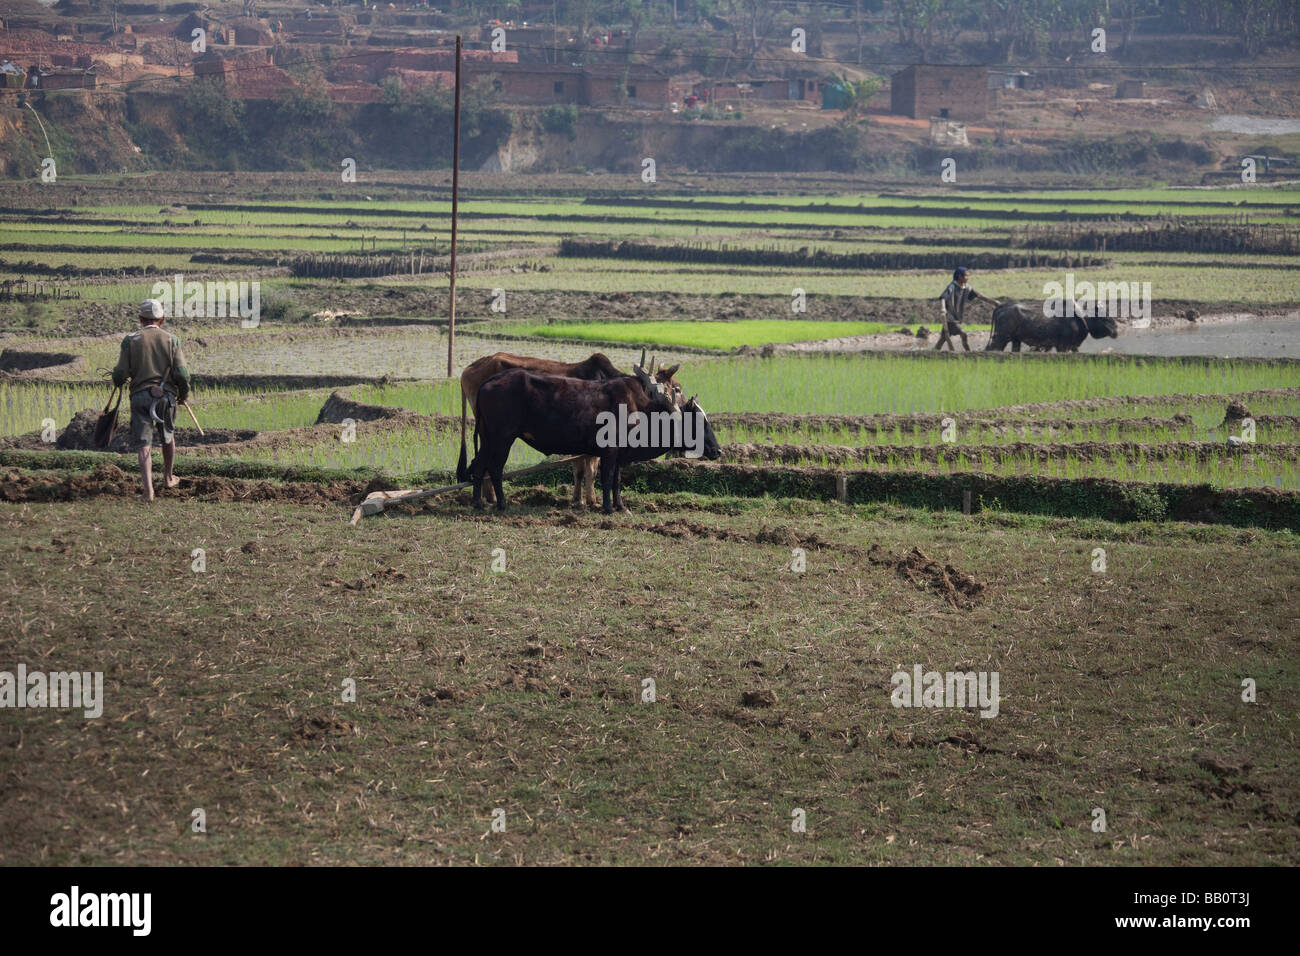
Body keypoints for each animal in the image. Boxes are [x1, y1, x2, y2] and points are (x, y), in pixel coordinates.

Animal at [468, 365, 721, 515]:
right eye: (699, 421)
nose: (718, 451)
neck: (642, 411)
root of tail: (490, 381)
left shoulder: (620, 455)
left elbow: (617, 481)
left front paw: (620, 506)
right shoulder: (609, 452)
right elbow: (607, 479)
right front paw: (607, 508)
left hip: (489, 438)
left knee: (479, 467)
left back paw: (480, 503)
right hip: (502, 438)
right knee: (494, 468)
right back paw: (499, 504)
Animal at [985, 301, 1119, 353]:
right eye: (1103, 317)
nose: (1116, 329)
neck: (1079, 318)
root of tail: (1003, 306)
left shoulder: (1073, 346)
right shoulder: (1062, 346)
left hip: (1015, 341)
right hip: (1001, 339)